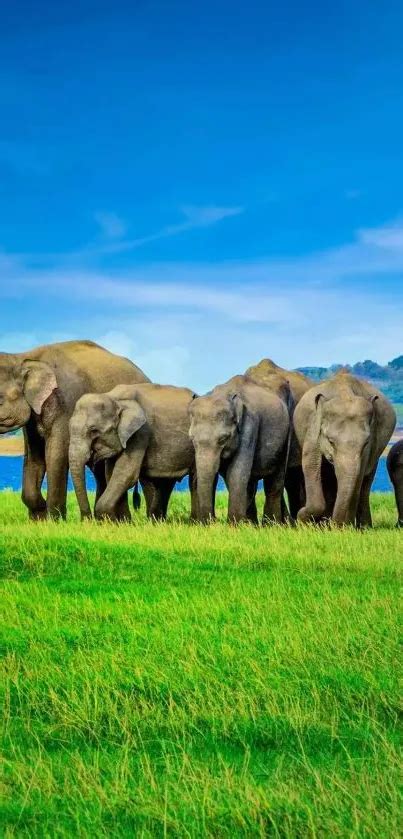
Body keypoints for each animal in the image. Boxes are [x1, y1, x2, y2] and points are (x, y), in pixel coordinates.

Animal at [0, 340, 149, 519]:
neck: (22, 357)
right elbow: (33, 457)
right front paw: (39, 518)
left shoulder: (64, 404)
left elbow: (56, 455)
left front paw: (54, 520)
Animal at [69, 383, 197, 522]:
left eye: (94, 430)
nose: (88, 520)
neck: (114, 398)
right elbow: (111, 474)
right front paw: (123, 522)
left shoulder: (140, 432)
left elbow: (125, 474)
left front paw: (109, 520)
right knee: (165, 483)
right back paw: (158, 521)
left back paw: (193, 522)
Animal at [188, 374, 290, 524]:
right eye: (192, 440)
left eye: (223, 439)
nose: (211, 522)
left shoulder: (249, 424)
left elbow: (236, 473)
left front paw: (234, 525)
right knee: (251, 484)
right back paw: (253, 523)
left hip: (286, 435)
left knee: (275, 481)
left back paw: (271, 524)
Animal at [293, 372, 396, 527]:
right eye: (331, 441)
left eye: (365, 443)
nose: (336, 525)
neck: (344, 393)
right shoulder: (312, 430)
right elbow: (310, 465)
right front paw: (304, 522)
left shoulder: (369, 444)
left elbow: (358, 478)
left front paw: (344, 528)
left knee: (365, 485)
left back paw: (364, 527)